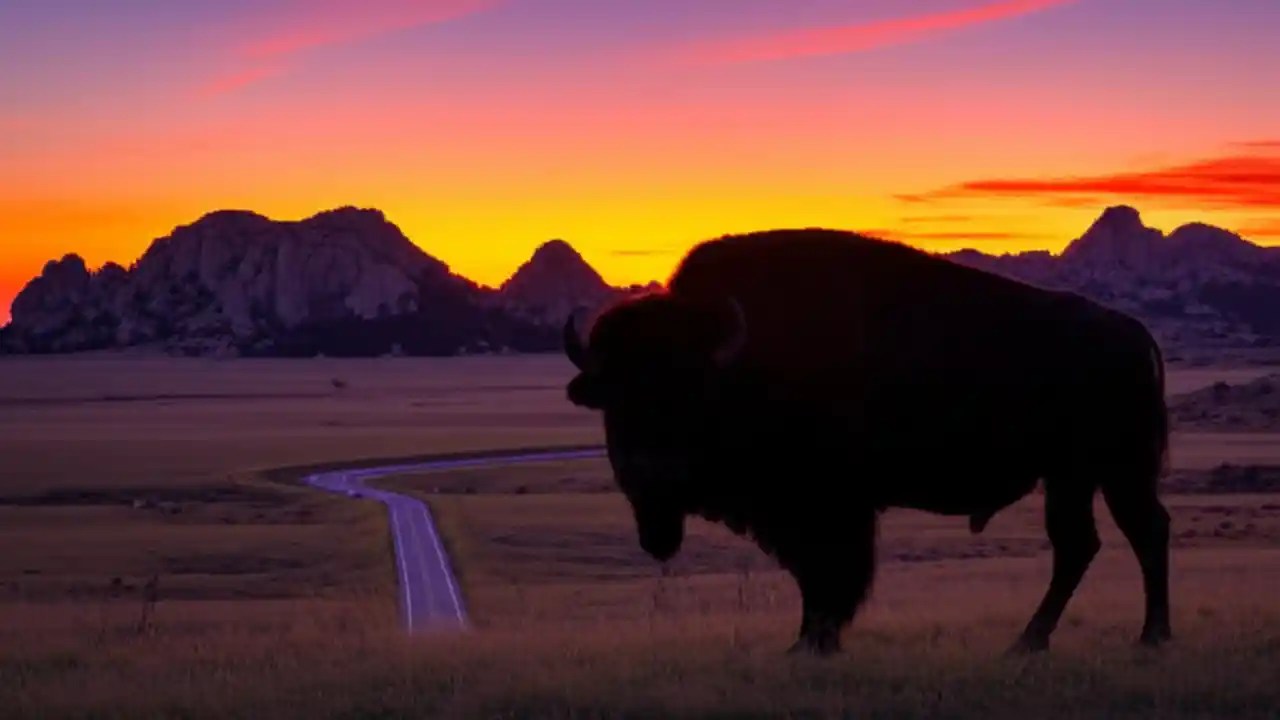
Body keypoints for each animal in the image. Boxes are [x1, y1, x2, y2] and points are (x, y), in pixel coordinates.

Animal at [563, 228, 1171, 655]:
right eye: (613, 400)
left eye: (687, 393)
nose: (650, 473)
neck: (738, 361)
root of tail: (1137, 334)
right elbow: (815, 576)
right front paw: (809, 642)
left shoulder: (828, 508)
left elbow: (829, 574)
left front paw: (812, 643)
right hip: (1084, 475)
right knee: (1099, 541)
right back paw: (1049, 642)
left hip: (1108, 469)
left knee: (1125, 536)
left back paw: (1125, 638)